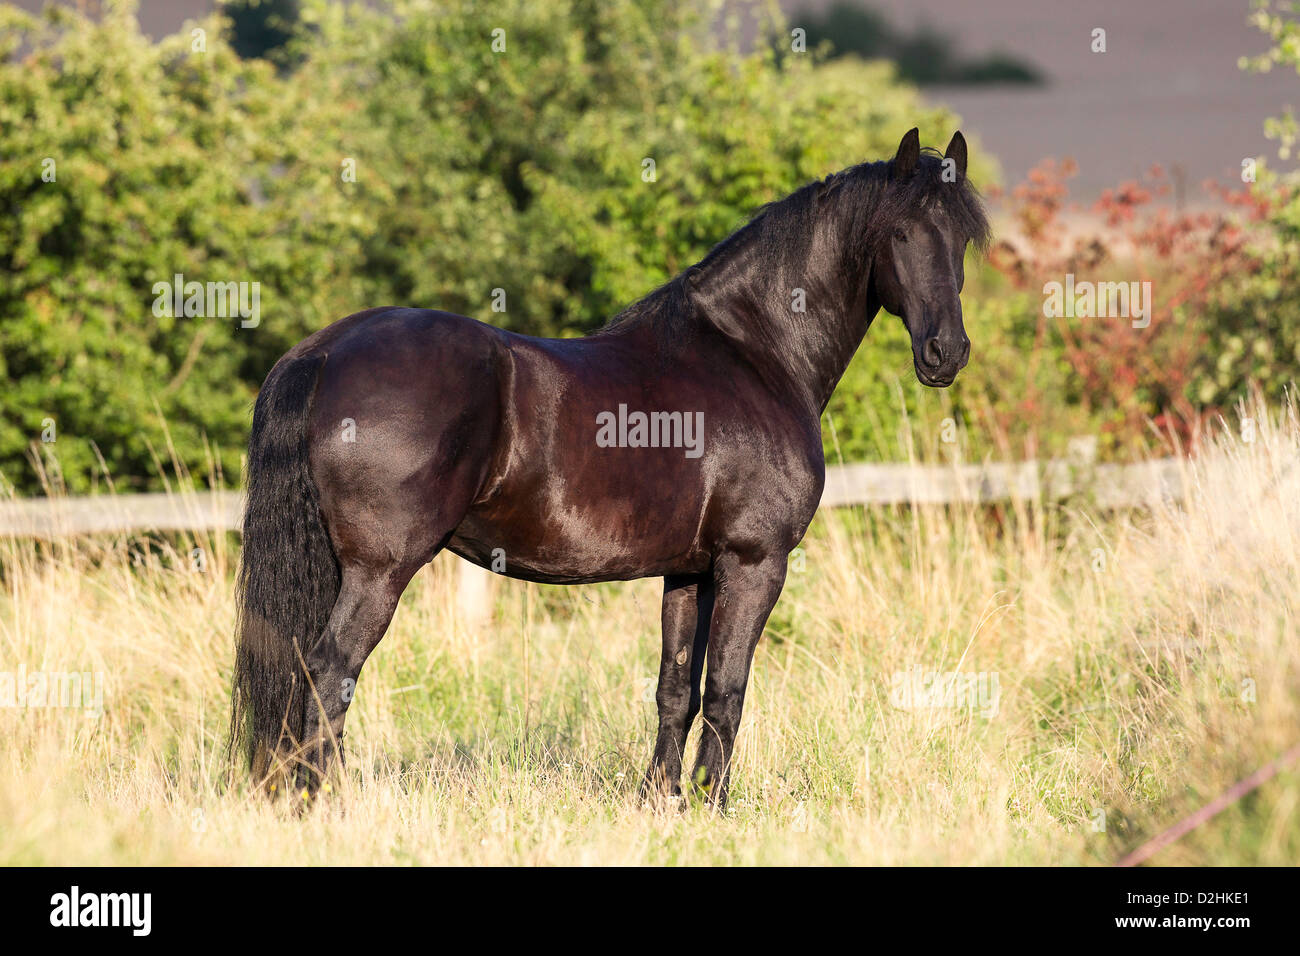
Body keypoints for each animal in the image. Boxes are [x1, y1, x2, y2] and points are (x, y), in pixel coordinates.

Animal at [230, 128, 990, 808]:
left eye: (960, 239)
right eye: (900, 233)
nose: (946, 353)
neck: (751, 352)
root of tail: (327, 350)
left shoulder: (689, 571)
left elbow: (676, 688)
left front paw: (662, 800)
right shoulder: (753, 561)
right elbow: (727, 689)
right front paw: (713, 805)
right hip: (379, 570)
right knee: (330, 670)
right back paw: (320, 800)